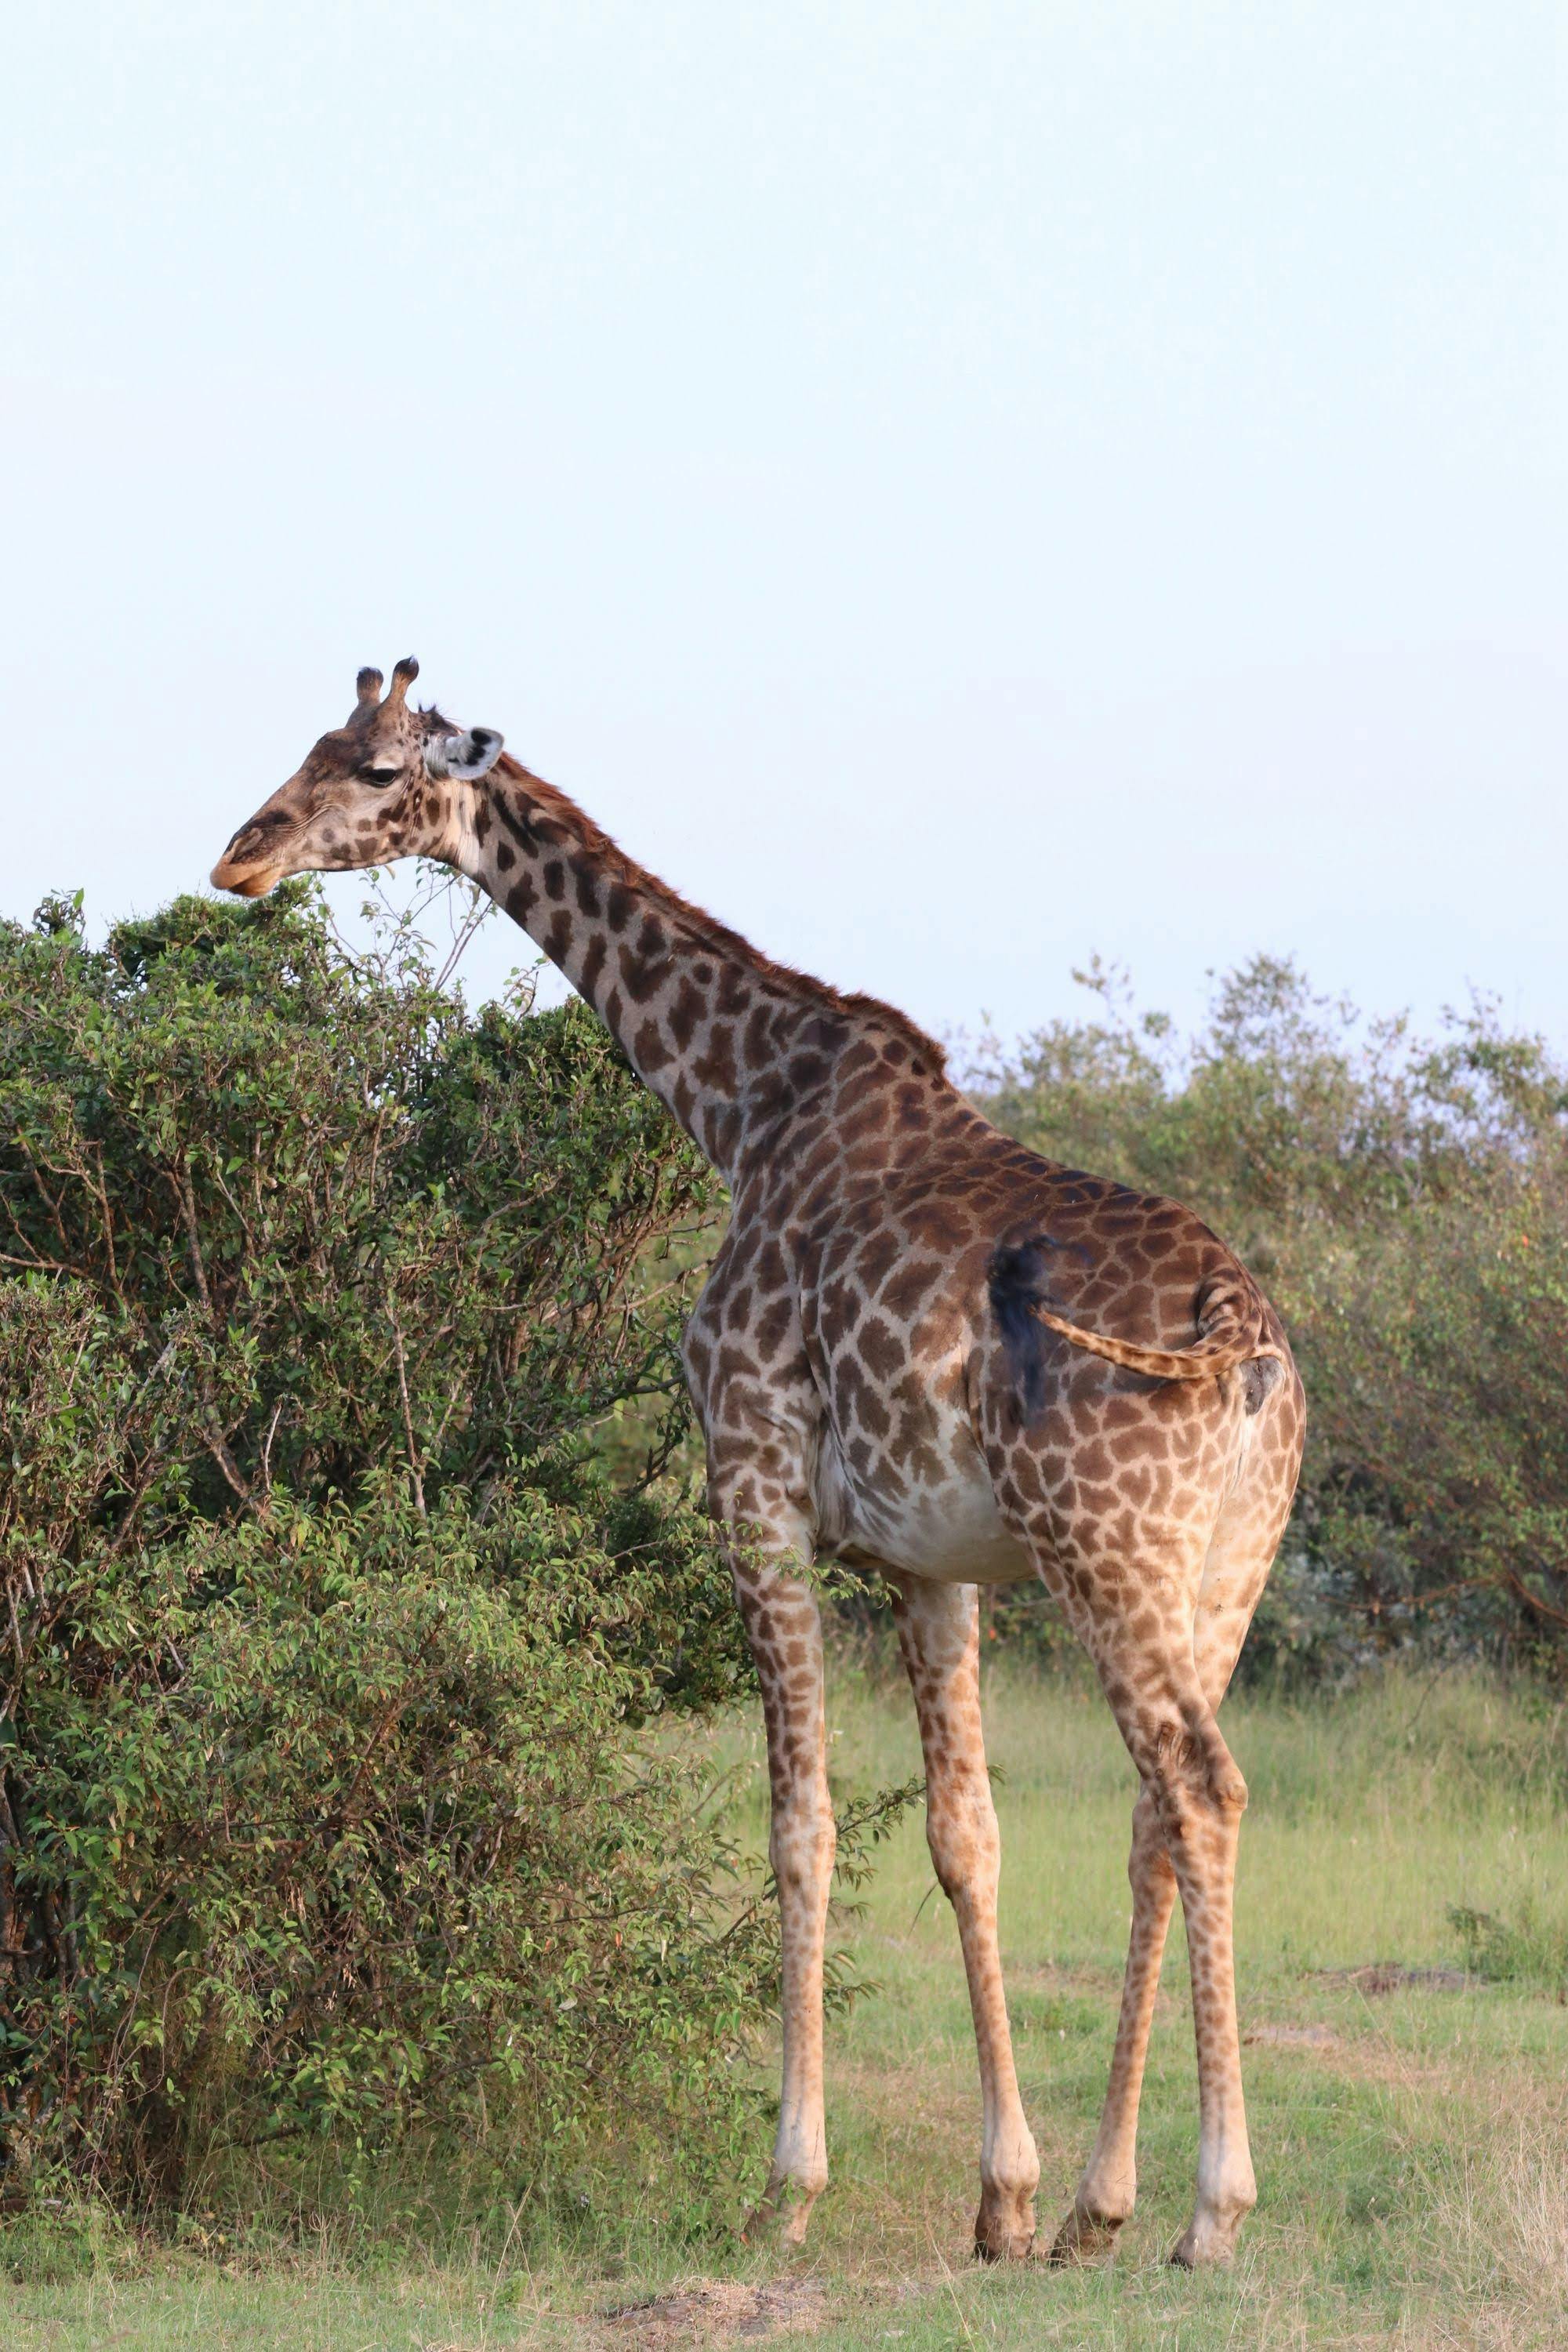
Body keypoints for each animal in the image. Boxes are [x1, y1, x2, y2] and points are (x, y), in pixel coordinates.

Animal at [211, 659, 1306, 2268]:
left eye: (371, 768)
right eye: (314, 745)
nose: (242, 855)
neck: (737, 1105)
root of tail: (1239, 1330)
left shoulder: (753, 1491)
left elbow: (802, 1829)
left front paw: (788, 2183)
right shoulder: (930, 1564)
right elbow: (967, 1839)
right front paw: (1004, 2195)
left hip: (1108, 1548)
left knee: (1205, 1792)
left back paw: (1213, 2210)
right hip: (1226, 1564)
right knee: (1158, 1820)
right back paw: (1100, 2208)